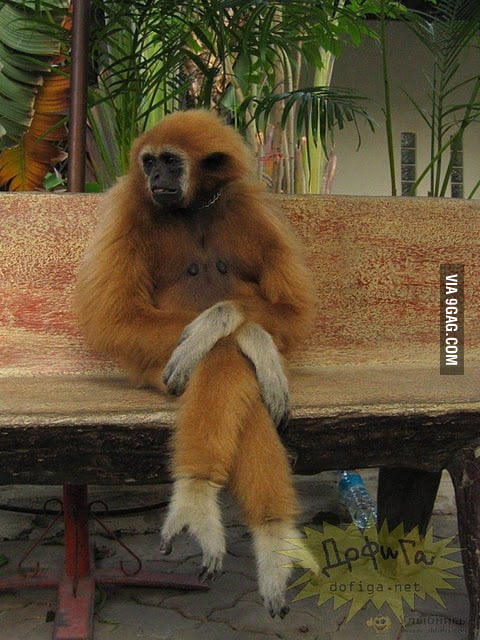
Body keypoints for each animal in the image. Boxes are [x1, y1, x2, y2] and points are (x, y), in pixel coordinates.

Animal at [74, 109, 316, 618]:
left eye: (169, 161)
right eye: (148, 162)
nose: (155, 177)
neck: (193, 209)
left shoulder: (249, 206)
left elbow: (291, 310)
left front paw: (250, 333)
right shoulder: (129, 205)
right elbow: (116, 317)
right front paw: (221, 325)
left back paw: (272, 535)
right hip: (152, 368)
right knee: (220, 358)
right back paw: (197, 495)